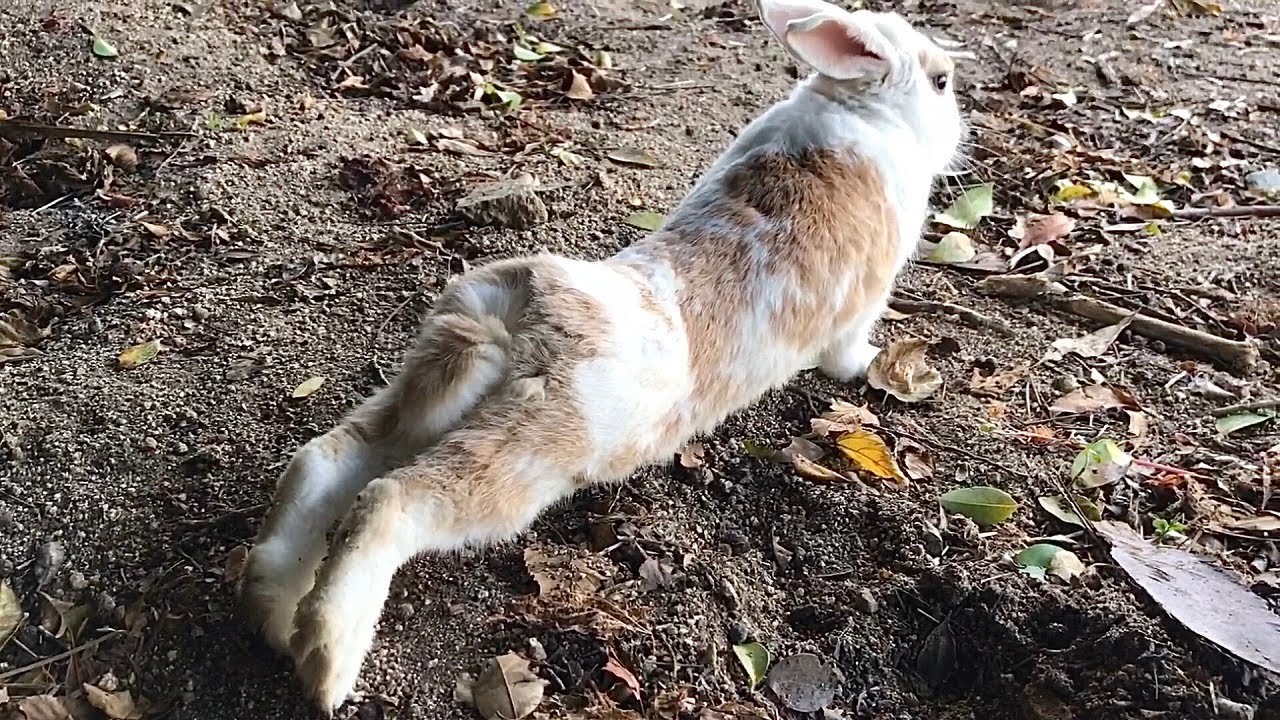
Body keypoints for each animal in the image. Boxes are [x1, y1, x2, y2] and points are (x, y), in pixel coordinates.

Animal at [237, 0, 964, 713]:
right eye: (940, 82)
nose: (960, 128)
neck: (856, 112)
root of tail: (524, 309)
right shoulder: (864, 300)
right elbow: (847, 350)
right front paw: (873, 367)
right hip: (524, 460)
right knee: (390, 499)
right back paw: (327, 663)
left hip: (422, 394)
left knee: (326, 462)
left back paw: (274, 611)